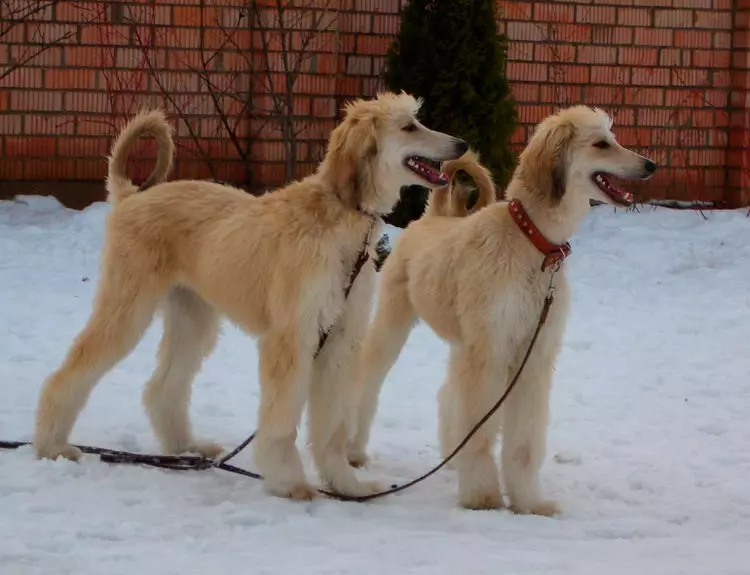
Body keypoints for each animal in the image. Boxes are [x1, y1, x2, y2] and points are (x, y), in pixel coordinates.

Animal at [36, 92, 470, 502]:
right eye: (409, 126)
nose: (463, 144)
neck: (338, 219)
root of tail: (132, 197)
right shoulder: (291, 337)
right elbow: (282, 419)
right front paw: (288, 481)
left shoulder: (339, 339)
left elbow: (333, 424)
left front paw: (346, 484)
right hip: (127, 304)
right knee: (71, 370)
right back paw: (51, 444)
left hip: (193, 315)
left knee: (164, 386)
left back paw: (186, 447)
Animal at [350, 106, 656, 516]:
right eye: (601, 143)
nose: (651, 165)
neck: (532, 245)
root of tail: (435, 217)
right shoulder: (490, 350)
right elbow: (480, 429)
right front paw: (482, 496)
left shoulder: (532, 353)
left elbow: (524, 440)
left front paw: (529, 501)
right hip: (395, 319)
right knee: (368, 381)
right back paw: (353, 450)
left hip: (463, 339)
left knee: (447, 394)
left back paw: (452, 456)